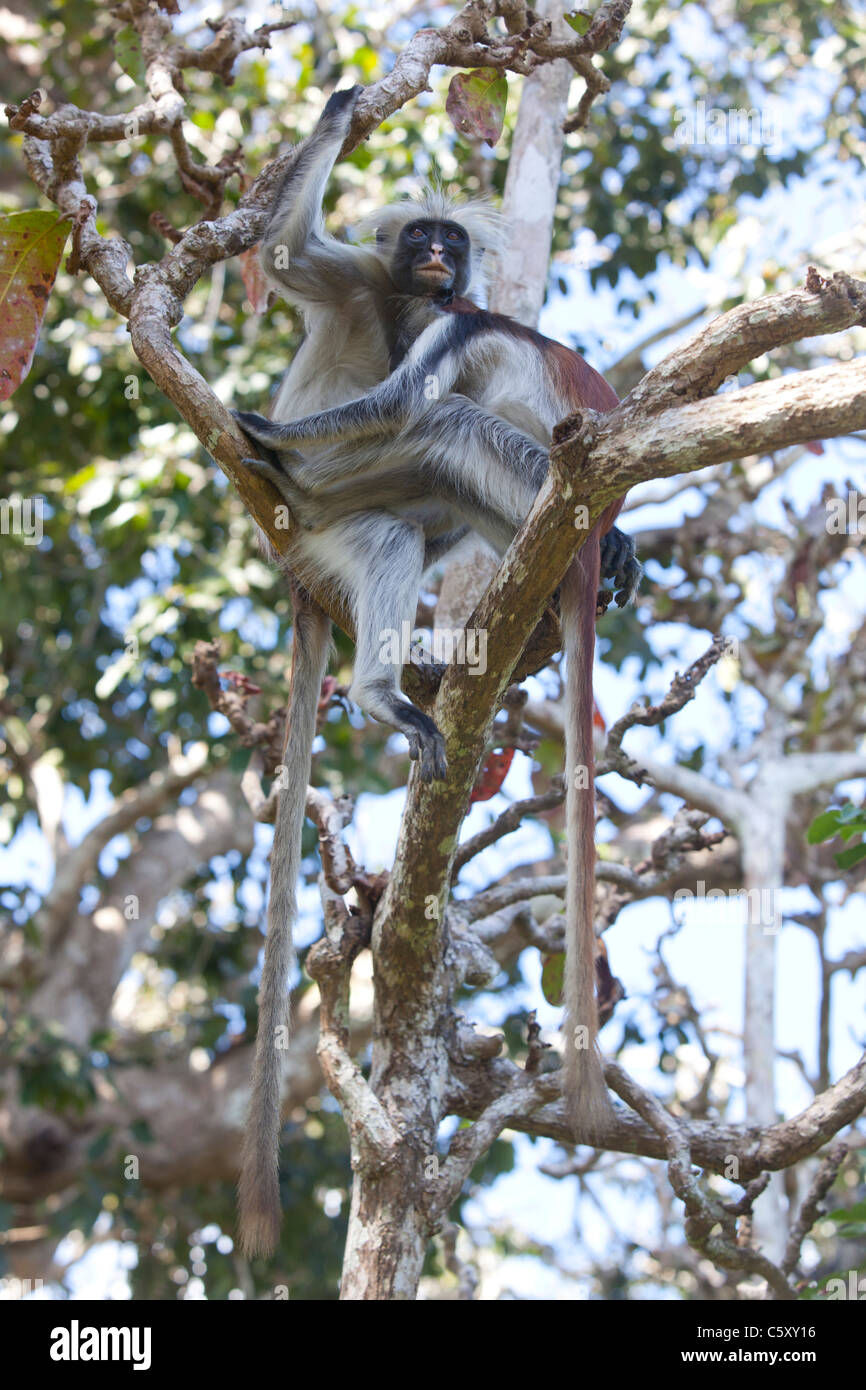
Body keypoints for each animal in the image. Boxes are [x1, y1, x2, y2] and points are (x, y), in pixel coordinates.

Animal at [232, 85, 640, 1257]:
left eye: (446, 246)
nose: (433, 255)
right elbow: (297, 267)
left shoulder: (456, 326)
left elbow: (395, 402)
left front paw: (259, 424)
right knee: (415, 494)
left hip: (506, 477)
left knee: (439, 427)